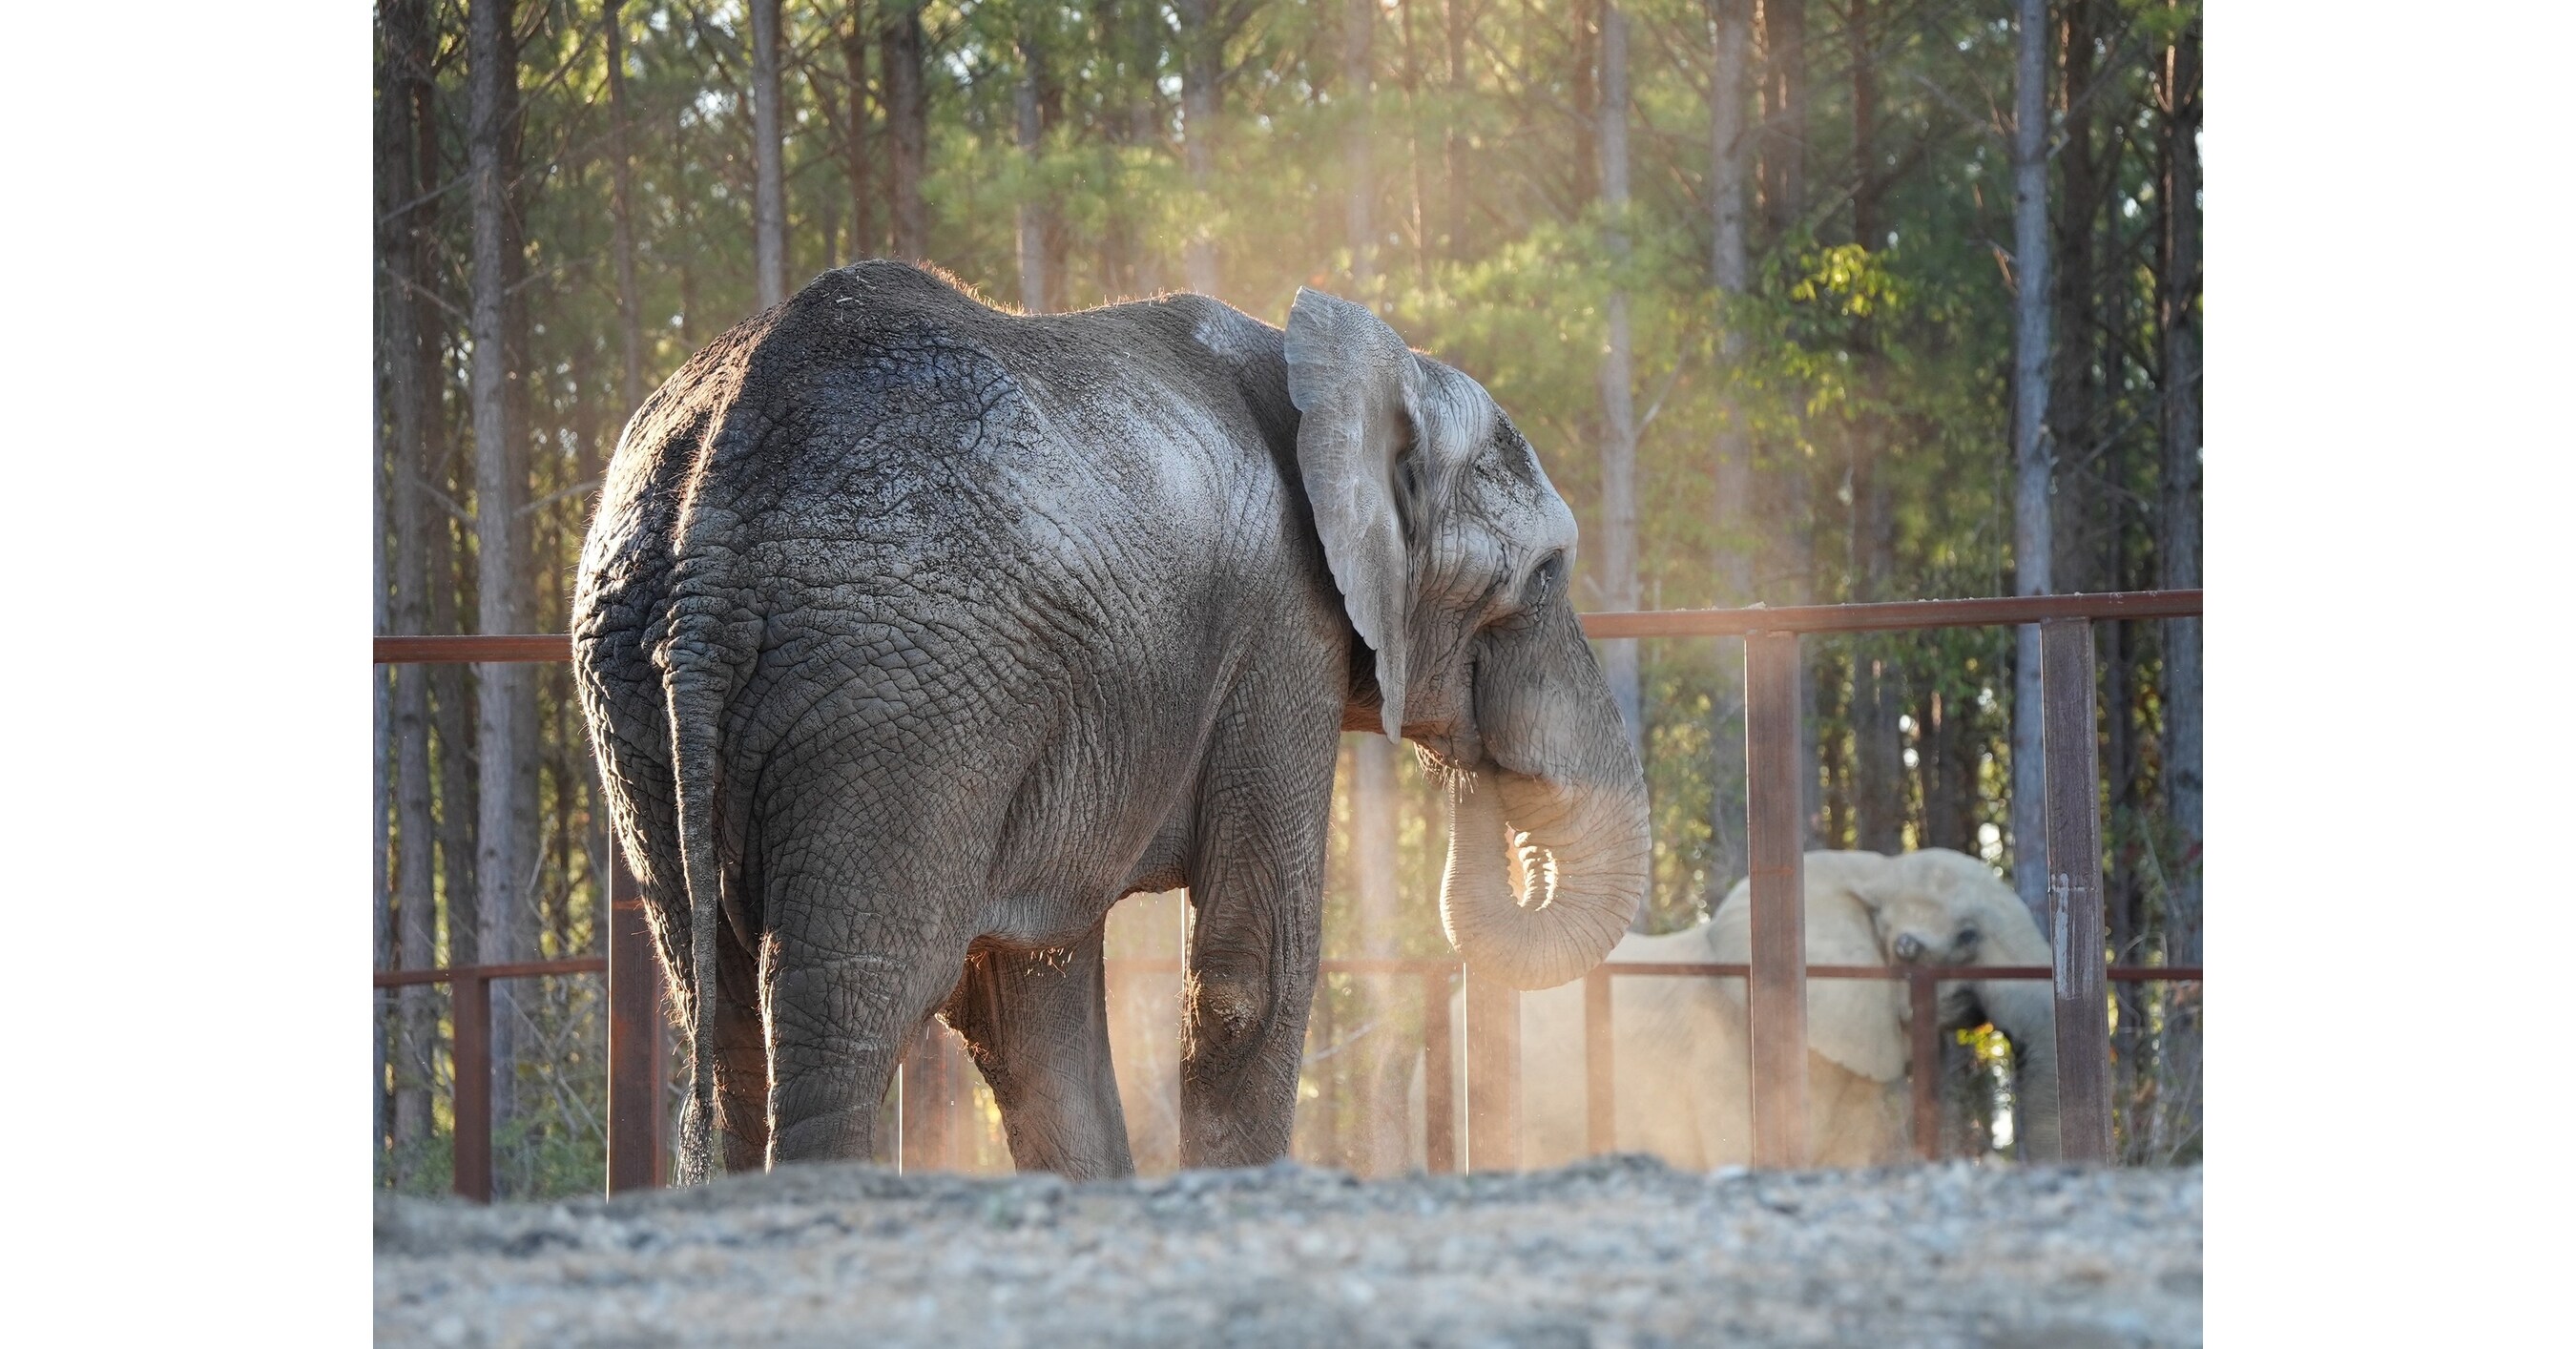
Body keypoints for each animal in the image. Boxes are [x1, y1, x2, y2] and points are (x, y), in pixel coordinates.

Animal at [572, 261, 1650, 1182]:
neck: (1340, 367)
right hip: (890, 696)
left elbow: (1030, 1004)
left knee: (716, 1004)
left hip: (637, 683)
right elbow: (1249, 978)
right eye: (1545, 573)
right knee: (852, 1001)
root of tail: (712, 506)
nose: (1475, 755)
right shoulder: (1281, 626)